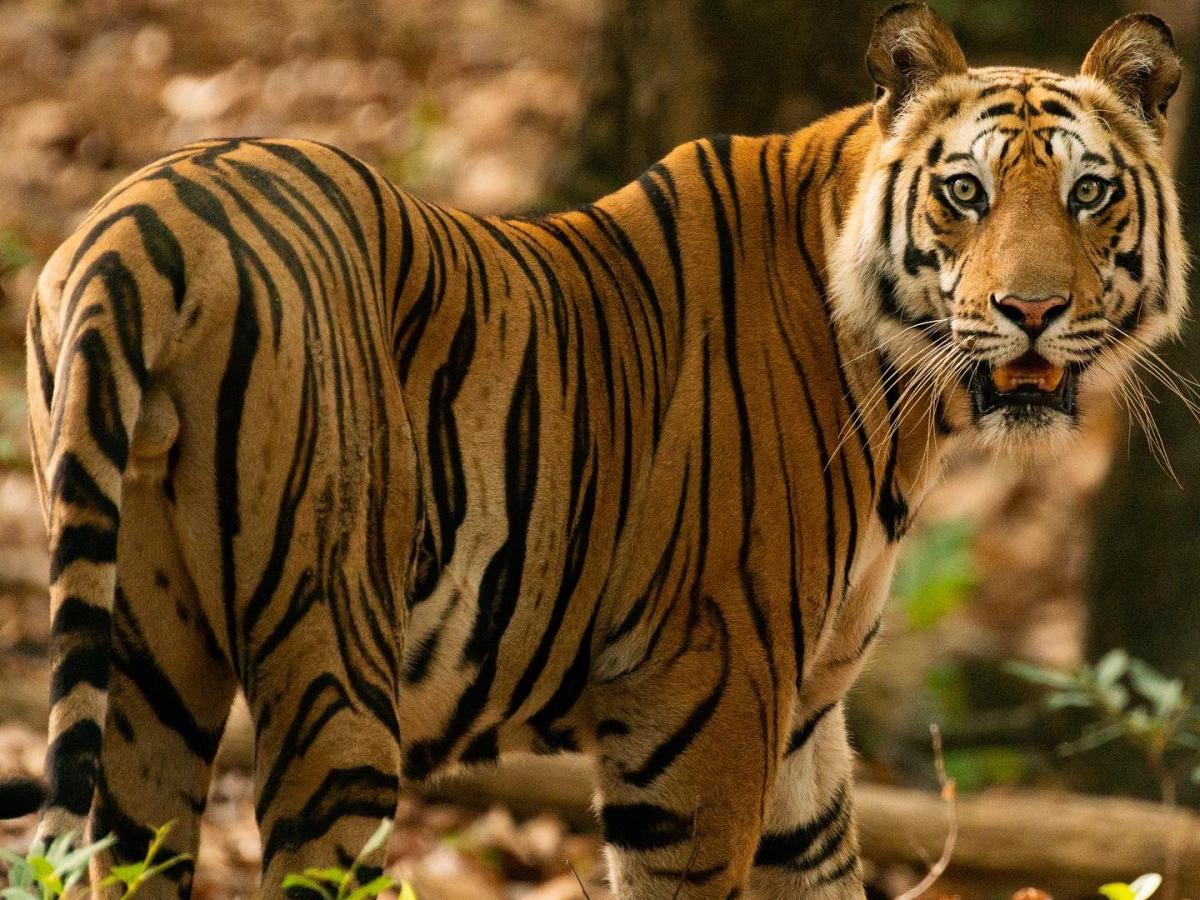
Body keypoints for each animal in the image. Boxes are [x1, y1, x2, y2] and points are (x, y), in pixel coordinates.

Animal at [0, 2, 1186, 898]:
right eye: (963, 193)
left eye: (1087, 191)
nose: (1030, 311)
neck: (904, 402)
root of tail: (136, 231)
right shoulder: (705, 704)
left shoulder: (804, 724)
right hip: (329, 662)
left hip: (151, 663)